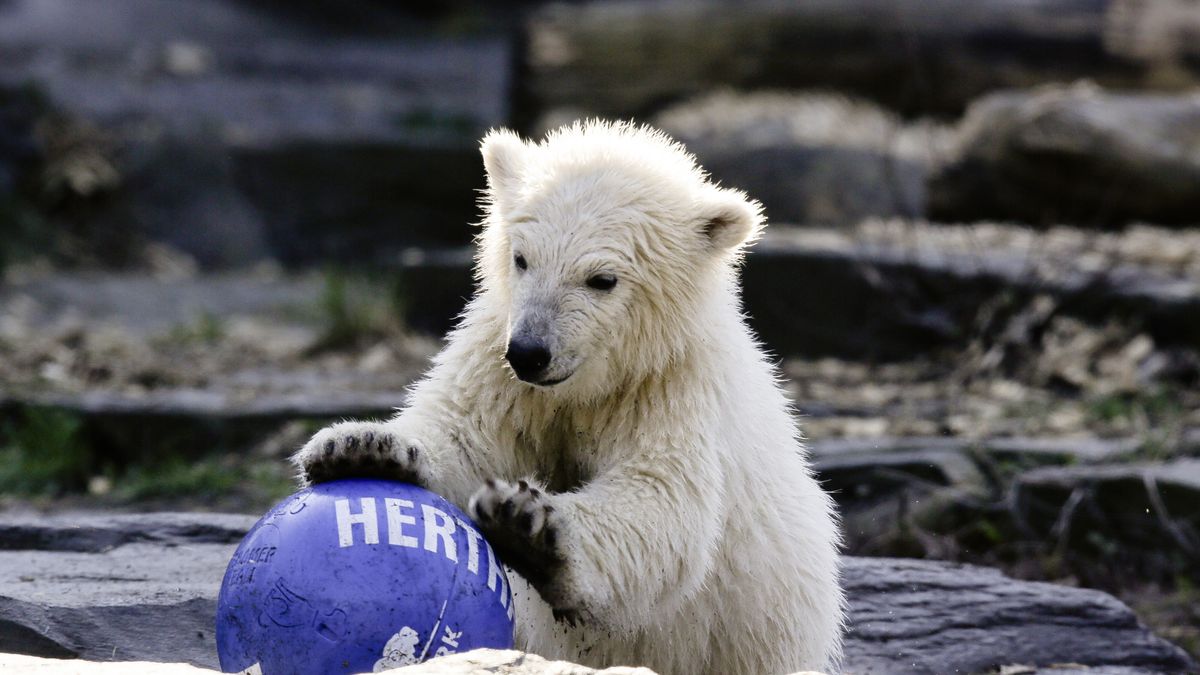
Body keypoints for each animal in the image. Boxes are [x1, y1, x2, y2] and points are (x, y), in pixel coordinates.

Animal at [292, 120, 844, 674]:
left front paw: (528, 529)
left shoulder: (672, 388)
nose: (529, 352)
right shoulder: (499, 366)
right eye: (522, 258)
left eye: (602, 279)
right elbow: (465, 433)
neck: (590, 384)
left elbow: (661, 496)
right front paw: (359, 448)